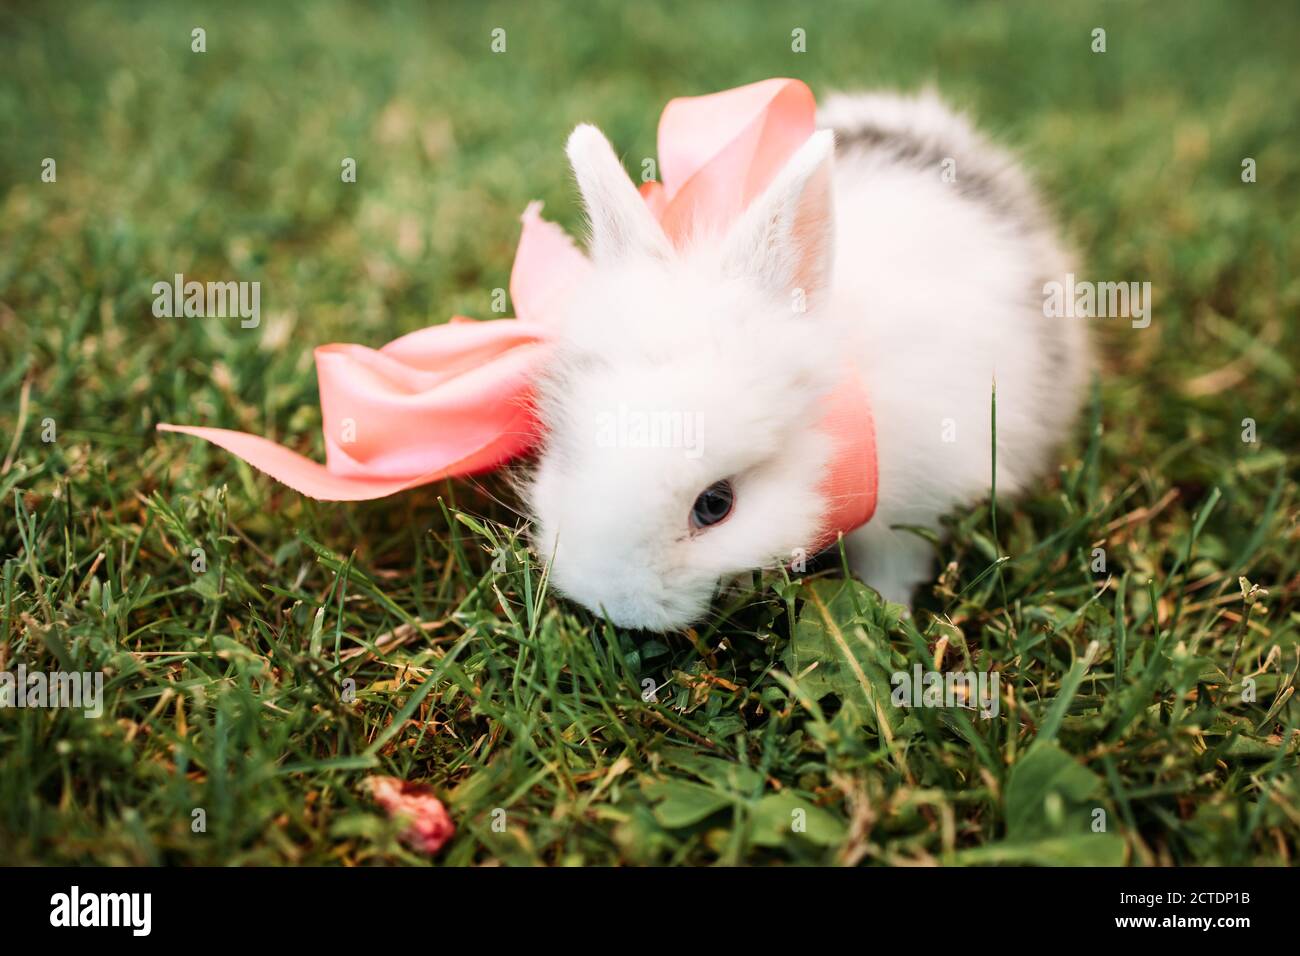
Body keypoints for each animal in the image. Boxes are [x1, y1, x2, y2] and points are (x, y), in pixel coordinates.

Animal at [523, 89, 1090, 631]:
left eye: (715, 504)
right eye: (569, 457)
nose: (619, 609)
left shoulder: (912, 507)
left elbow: (898, 564)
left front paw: (891, 613)